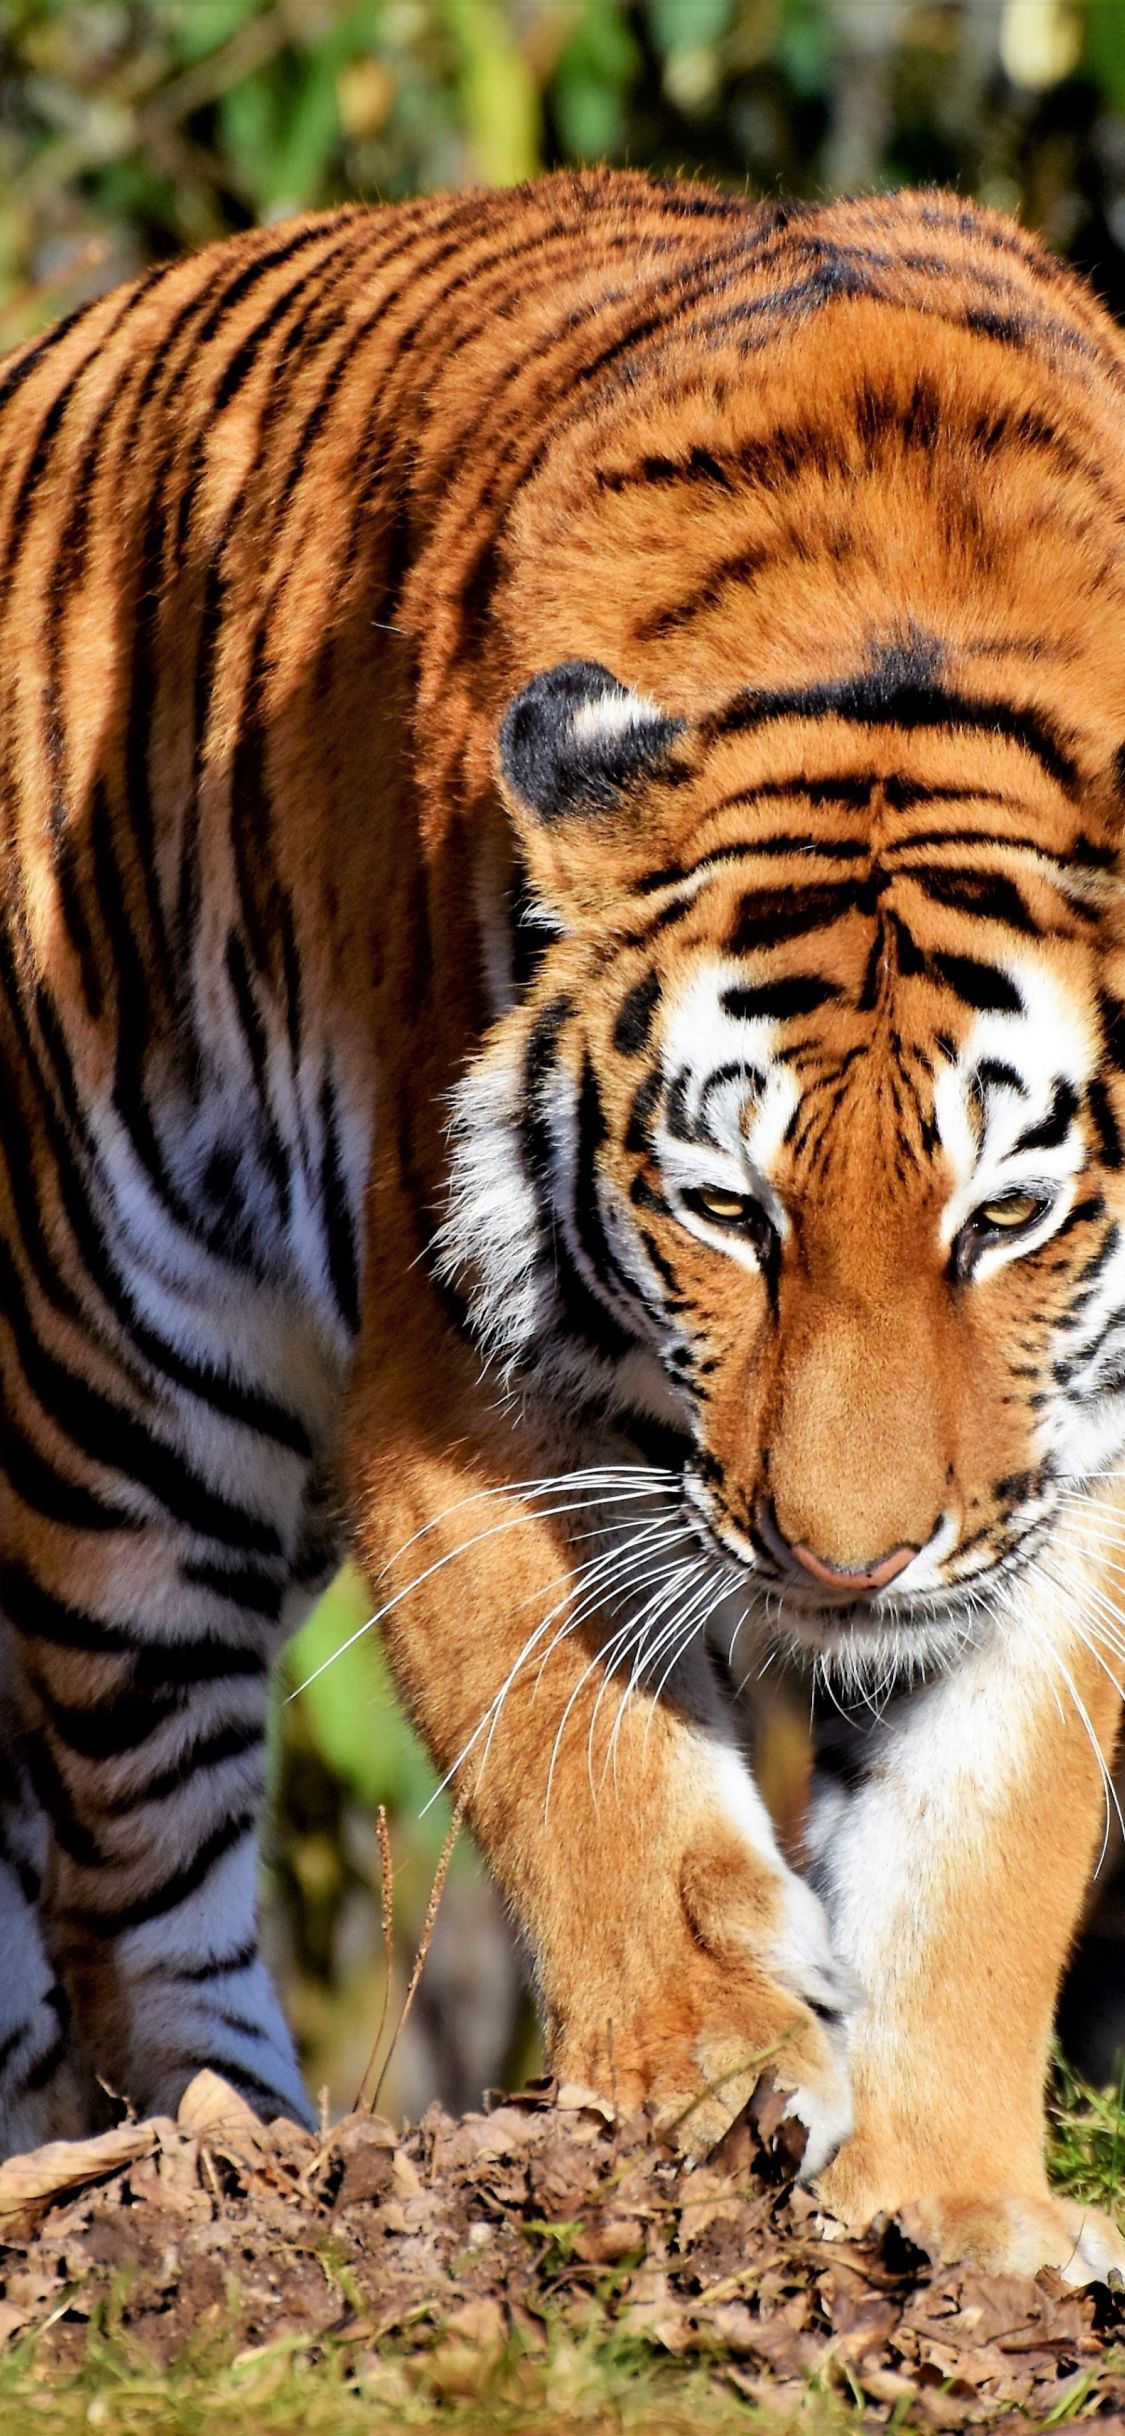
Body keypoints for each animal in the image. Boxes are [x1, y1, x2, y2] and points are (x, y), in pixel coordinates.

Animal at [2, 165, 1125, 2284]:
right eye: (728, 1212)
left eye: (1005, 1219)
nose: (843, 1568)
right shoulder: (450, 1387)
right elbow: (588, 1765)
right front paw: (708, 2084)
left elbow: (985, 1831)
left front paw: (958, 2202)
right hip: (127, 1399)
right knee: (126, 1874)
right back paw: (226, 2151)